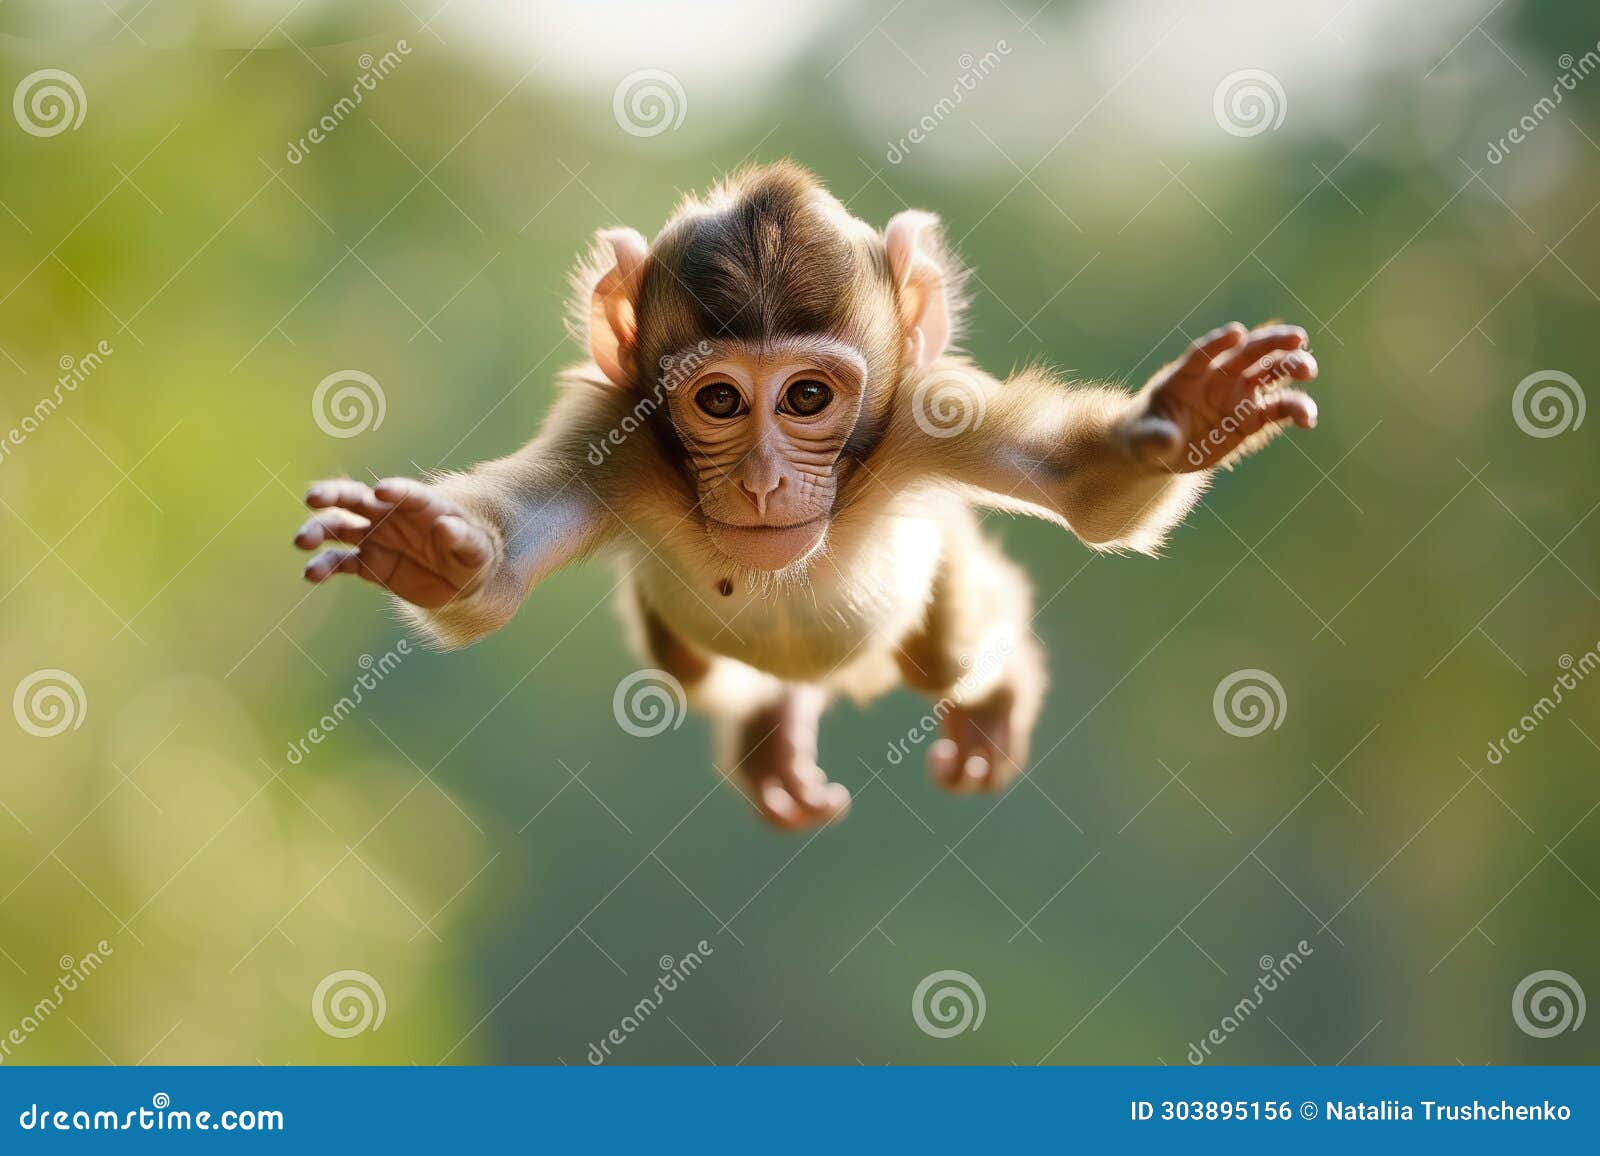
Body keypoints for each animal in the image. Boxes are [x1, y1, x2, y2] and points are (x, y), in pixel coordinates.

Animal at [292, 162, 1321, 831]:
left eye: (807, 398)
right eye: (718, 400)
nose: (763, 479)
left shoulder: (928, 415)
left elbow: (1087, 491)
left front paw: (1193, 417)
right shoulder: (608, 444)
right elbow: (498, 573)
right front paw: (426, 550)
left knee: (948, 656)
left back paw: (994, 693)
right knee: (696, 668)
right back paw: (769, 729)